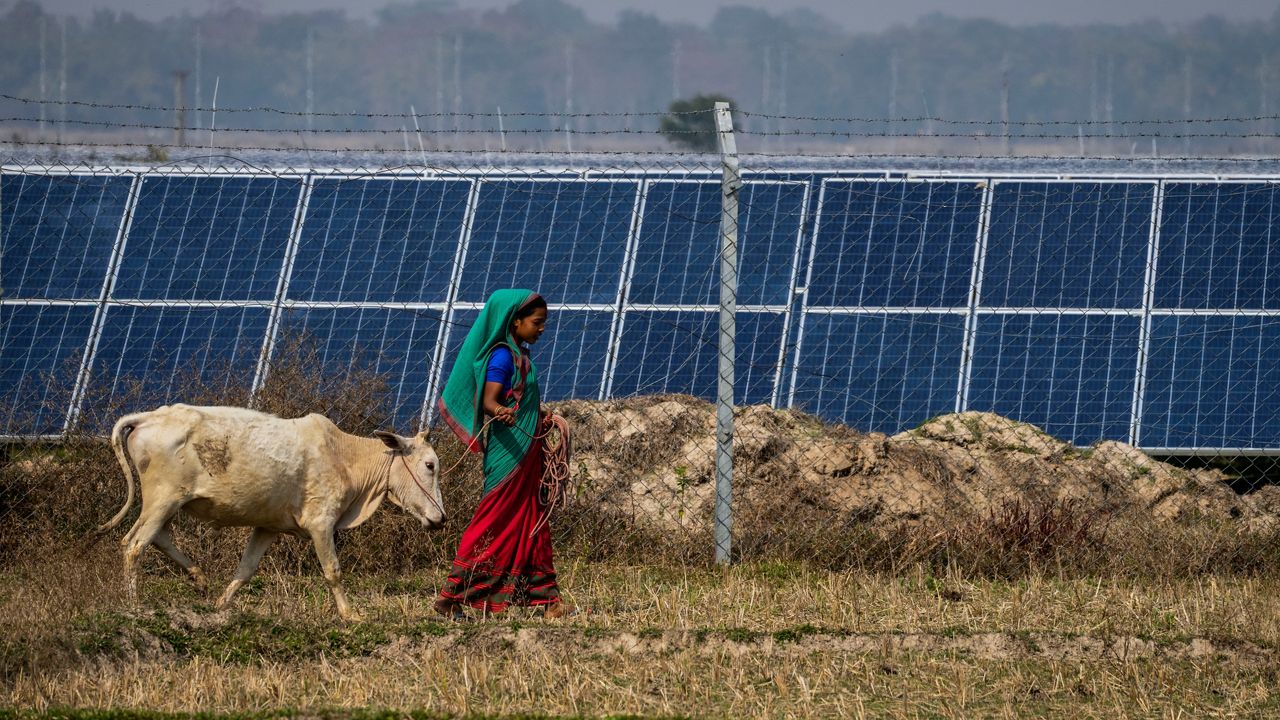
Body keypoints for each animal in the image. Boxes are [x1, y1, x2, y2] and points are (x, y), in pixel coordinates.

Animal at [96, 399, 445, 620]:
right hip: (163, 498)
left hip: (166, 504)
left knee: (157, 538)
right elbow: (333, 571)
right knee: (134, 544)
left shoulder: (268, 527)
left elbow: (246, 569)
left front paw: (221, 606)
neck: (344, 456)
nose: (441, 517)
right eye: (430, 465)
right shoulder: (321, 522)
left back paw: (200, 578)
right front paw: (351, 615)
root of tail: (148, 416)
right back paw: (135, 605)